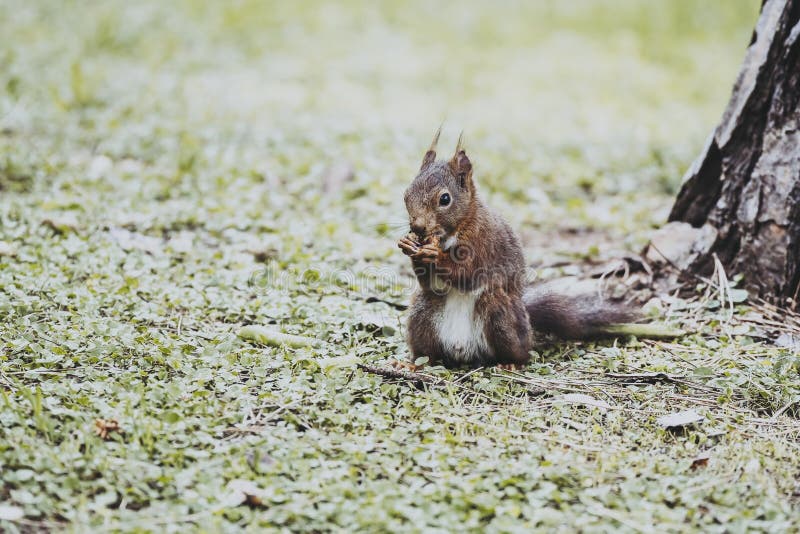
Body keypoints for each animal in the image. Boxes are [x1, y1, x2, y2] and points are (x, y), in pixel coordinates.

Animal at [395, 130, 641, 370]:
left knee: (521, 351)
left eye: (445, 199)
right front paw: (410, 246)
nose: (417, 228)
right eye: (406, 194)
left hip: (500, 314)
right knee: (428, 354)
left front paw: (435, 255)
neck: (453, 230)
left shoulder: (484, 243)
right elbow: (431, 283)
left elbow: (468, 274)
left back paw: (510, 363)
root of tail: (462, 351)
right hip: (423, 314)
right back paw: (412, 365)